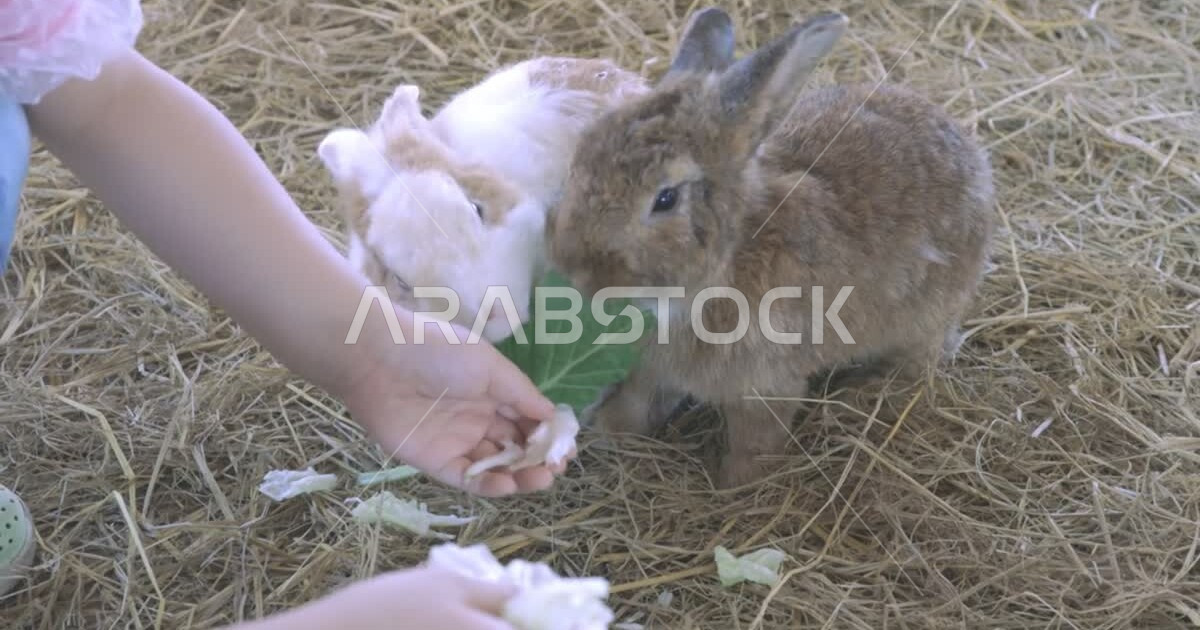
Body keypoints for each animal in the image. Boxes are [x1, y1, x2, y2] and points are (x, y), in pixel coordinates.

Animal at [547, 8, 996, 489]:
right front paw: (606, 431)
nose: (572, 268)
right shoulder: (654, 371)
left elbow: (756, 440)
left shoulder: (766, 385)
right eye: (583, 154)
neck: (724, 264)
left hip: (926, 318)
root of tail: (972, 158)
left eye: (665, 199)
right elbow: (637, 402)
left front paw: (734, 486)